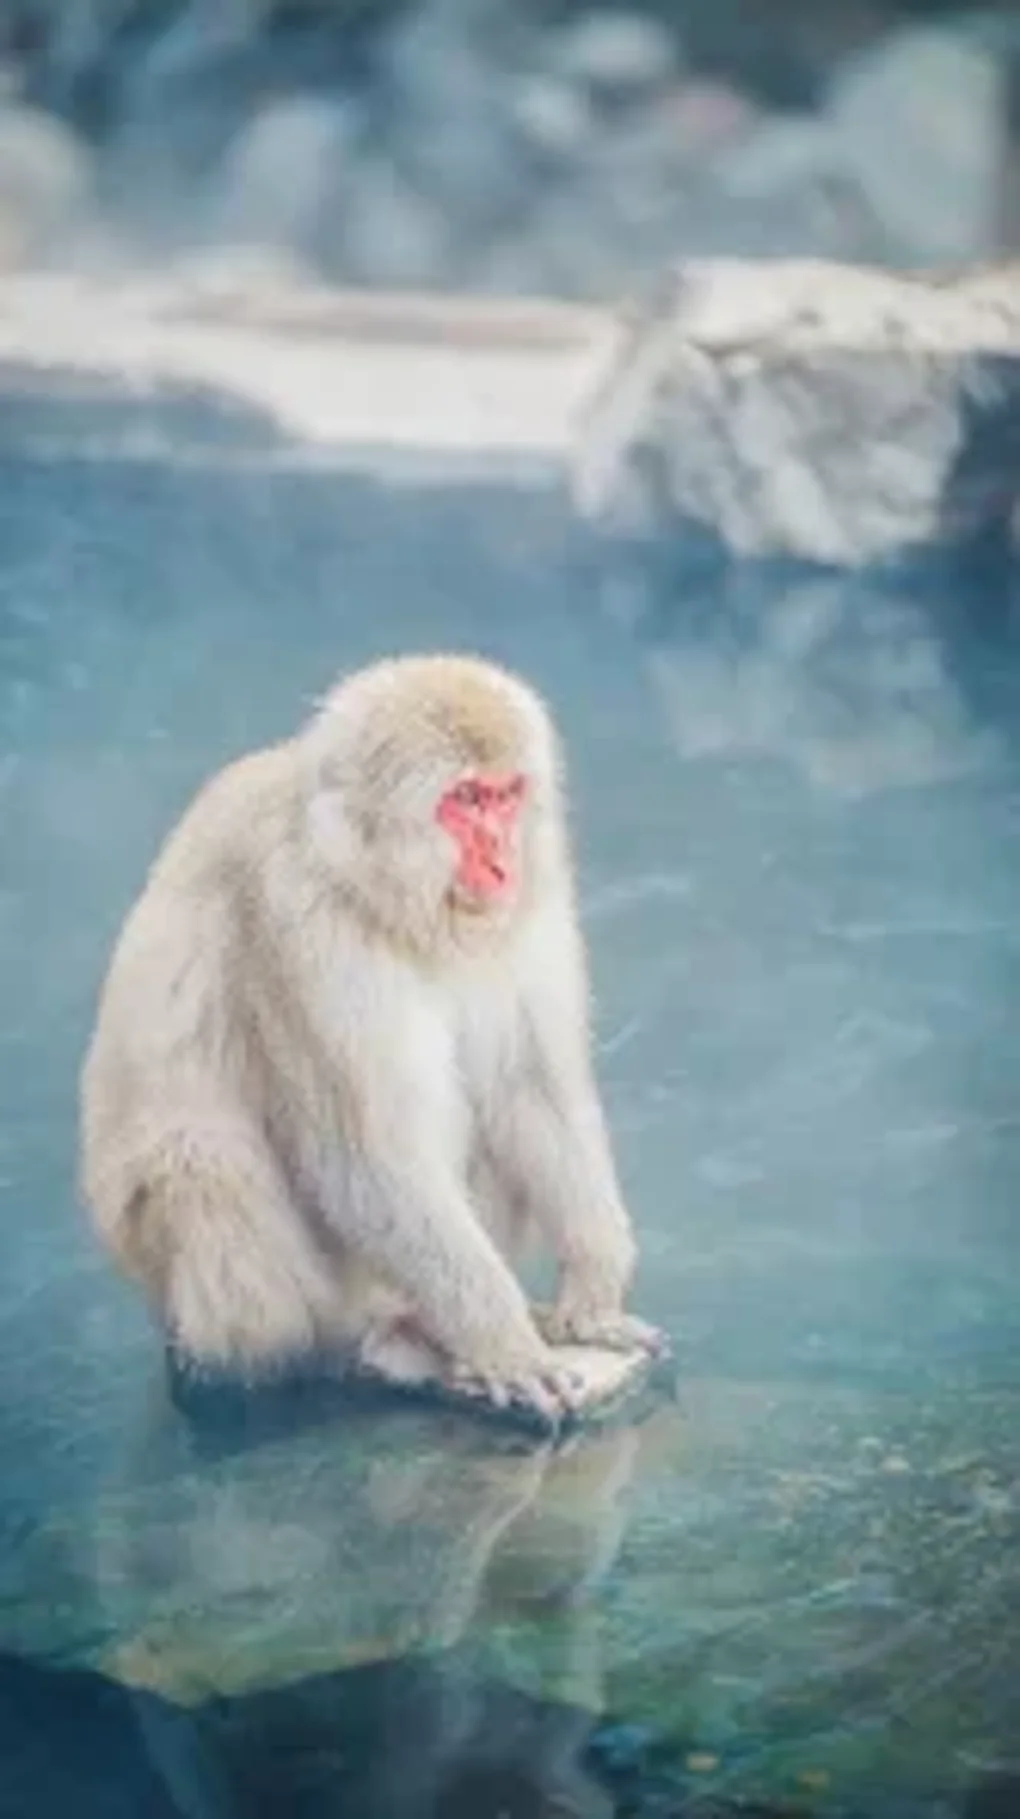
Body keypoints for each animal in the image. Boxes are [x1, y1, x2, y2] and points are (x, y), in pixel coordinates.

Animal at [79, 653, 665, 1425]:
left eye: (507, 795)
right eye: (465, 799)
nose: (503, 859)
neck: (374, 888)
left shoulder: (529, 904)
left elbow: (530, 1090)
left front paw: (594, 1293)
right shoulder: (297, 922)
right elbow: (368, 1155)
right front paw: (505, 1343)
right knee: (201, 1164)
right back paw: (351, 1354)